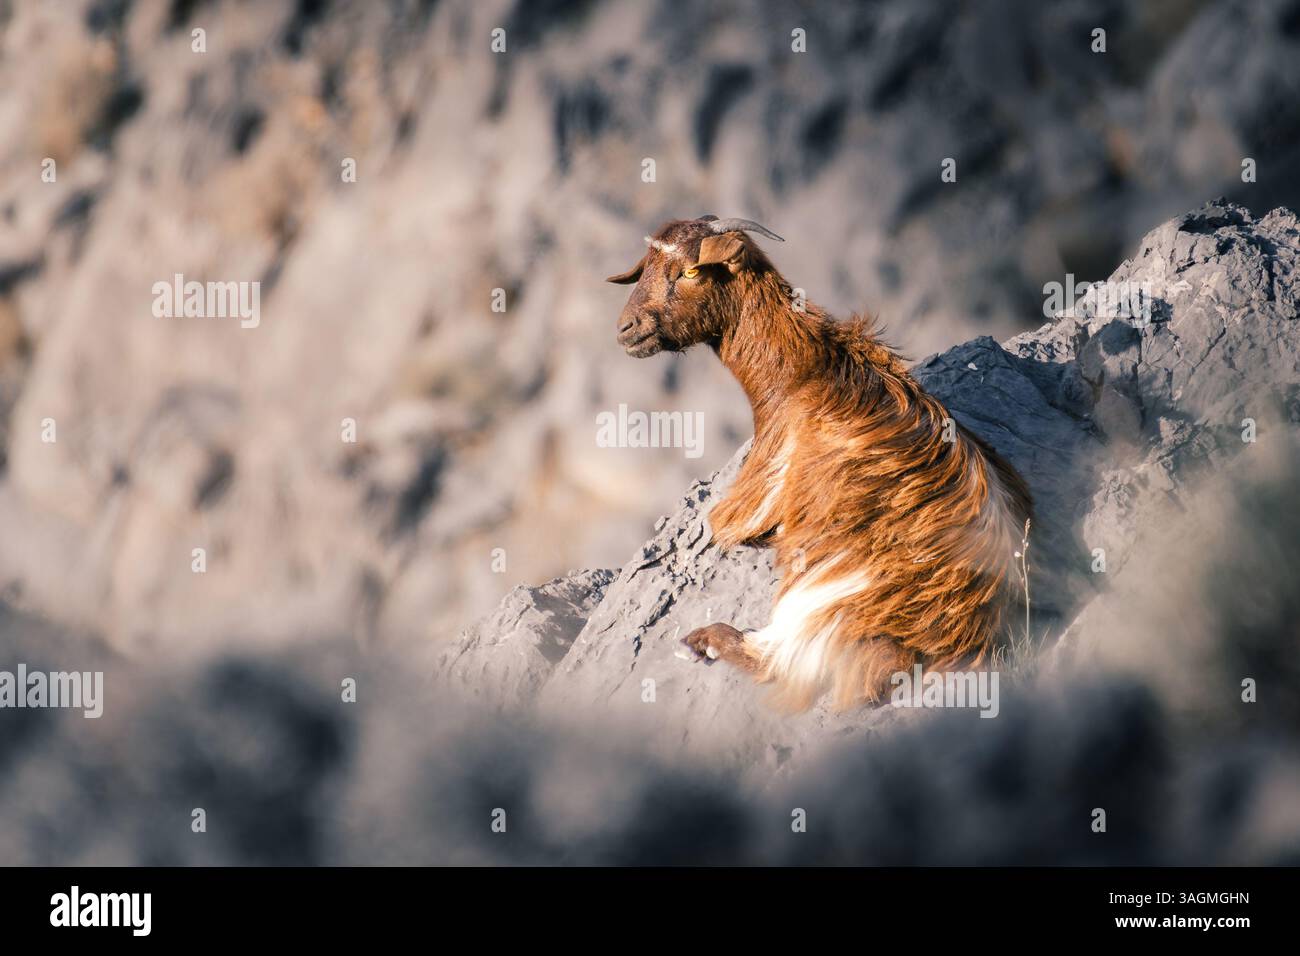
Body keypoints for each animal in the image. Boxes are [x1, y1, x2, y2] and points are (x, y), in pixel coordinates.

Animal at [607, 216, 1033, 711]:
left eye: (692, 271)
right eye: (648, 266)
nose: (626, 328)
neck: (802, 371)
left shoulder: (761, 484)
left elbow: (725, 524)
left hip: (817, 598)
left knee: (776, 661)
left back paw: (703, 640)